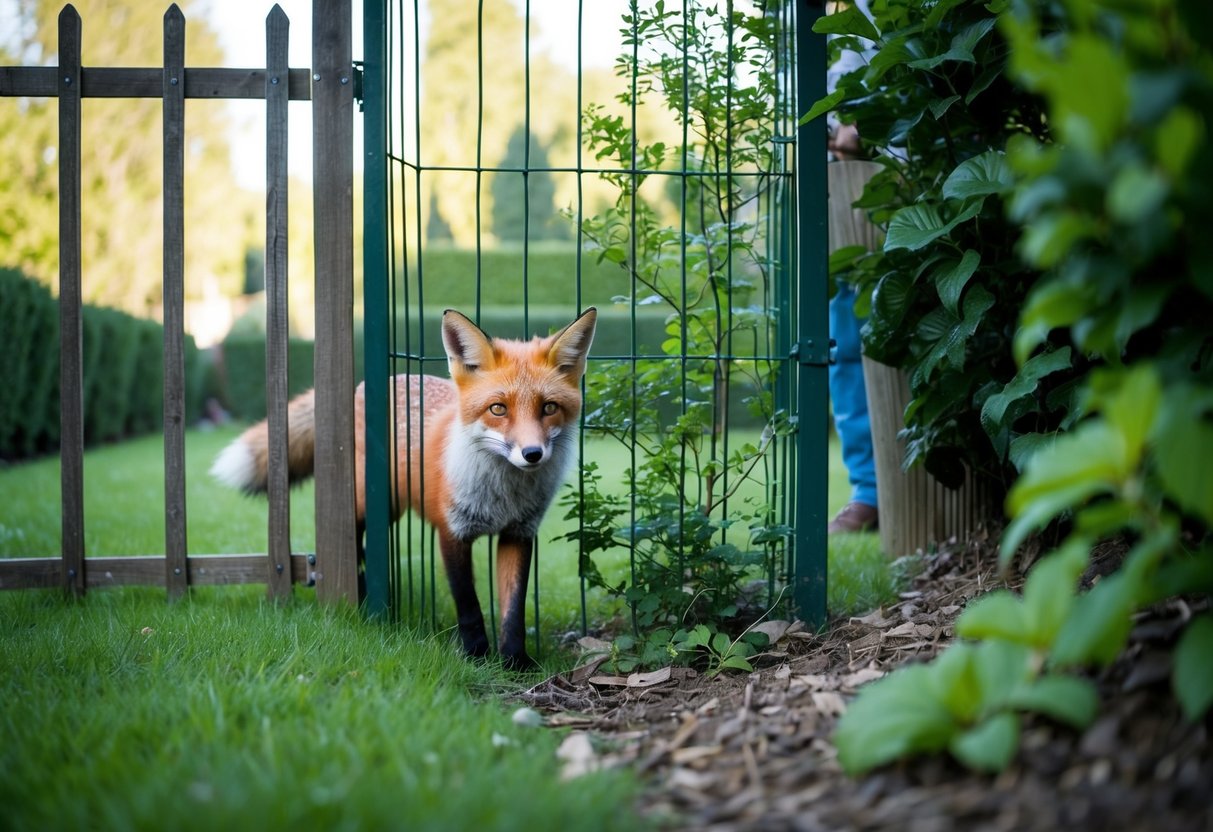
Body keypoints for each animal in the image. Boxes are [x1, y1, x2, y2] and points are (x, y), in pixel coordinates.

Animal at [210, 307, 598, 670]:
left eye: (549, 407)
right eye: (498, 409)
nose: (532, 454)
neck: (503, 495)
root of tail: (375, 382)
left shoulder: (518, 533)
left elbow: (513, 610)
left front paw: (516, 663)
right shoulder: (452, 531)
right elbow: (469, 605)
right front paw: (475, 657)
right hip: (372, 503)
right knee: (353, 543)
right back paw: (362, 594)